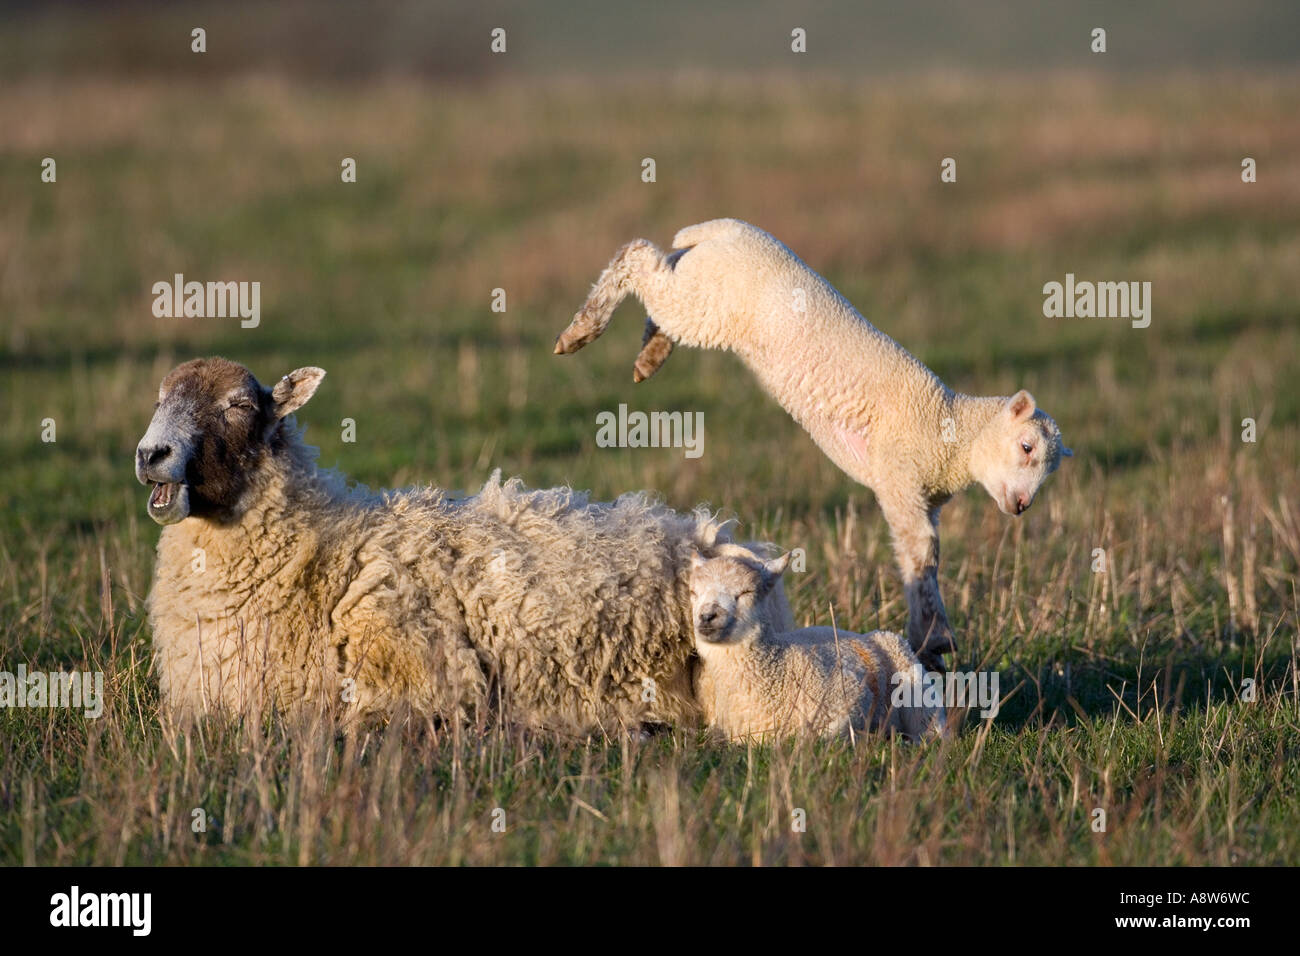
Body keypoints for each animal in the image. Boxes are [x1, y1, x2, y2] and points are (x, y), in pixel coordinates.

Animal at [135, 357, 794, 733]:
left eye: (241, 404)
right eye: (159, 399)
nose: (151, 454)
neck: (318, 551)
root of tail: (713, 532)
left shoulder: (416, 672)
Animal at [555, 218, 1072, 669]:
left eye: (1050, 470)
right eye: (1026, 447)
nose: (1022, 505)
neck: (949, 429)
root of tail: (721, 228)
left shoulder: (920, 498)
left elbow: (920, 559)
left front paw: (929, 641)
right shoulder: (900, 482)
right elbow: (923, 557)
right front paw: (935, 638)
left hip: (696, 287)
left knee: (660, 283)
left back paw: (649, 355)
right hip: (705, 298)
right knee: (637, 255)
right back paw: (581, 330)